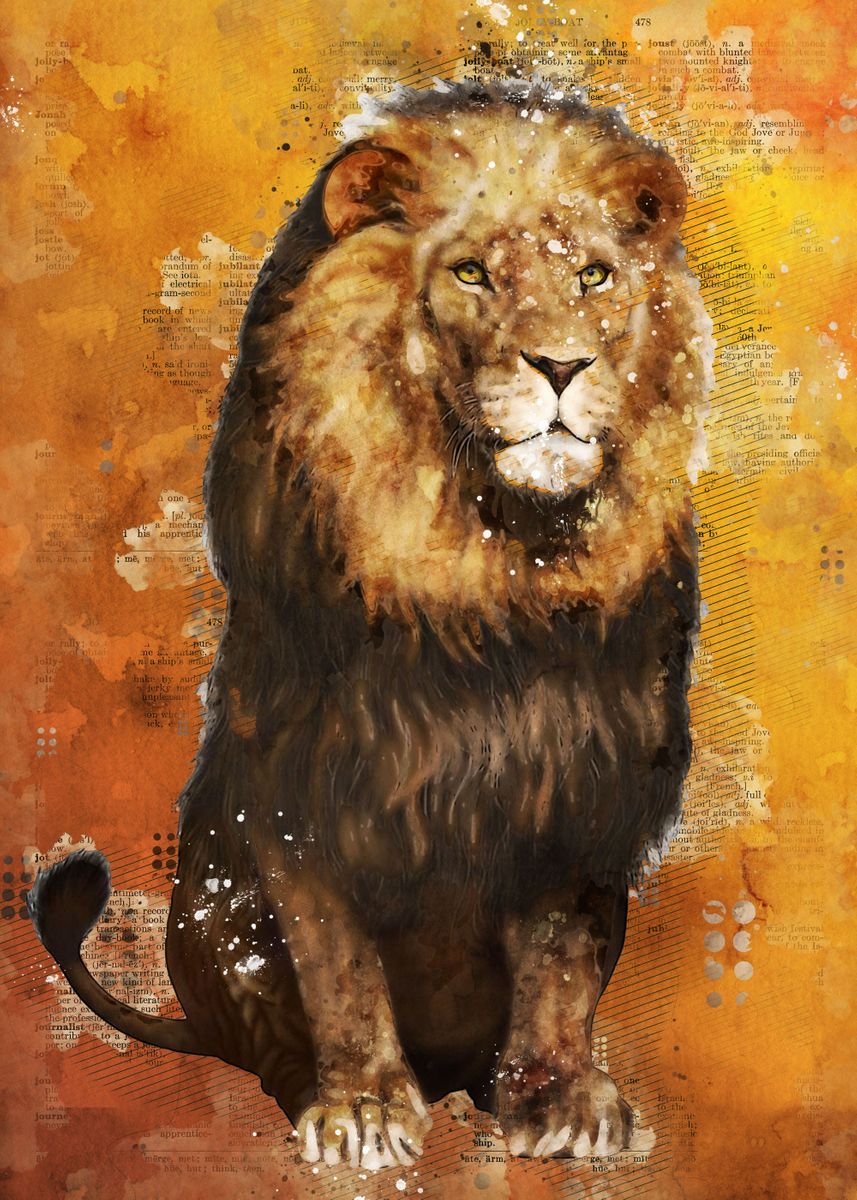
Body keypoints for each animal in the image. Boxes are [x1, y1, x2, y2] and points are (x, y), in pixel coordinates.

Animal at [29, 80, 713, 1170]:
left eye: (595, 274)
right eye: (471, 273)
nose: (562, 365)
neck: (487, 581)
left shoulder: (581, 777)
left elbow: (558, 965)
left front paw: (557, 1099)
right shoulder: (305, 772)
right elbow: (336, 962)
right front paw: (359, 1110)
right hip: (210, 898)